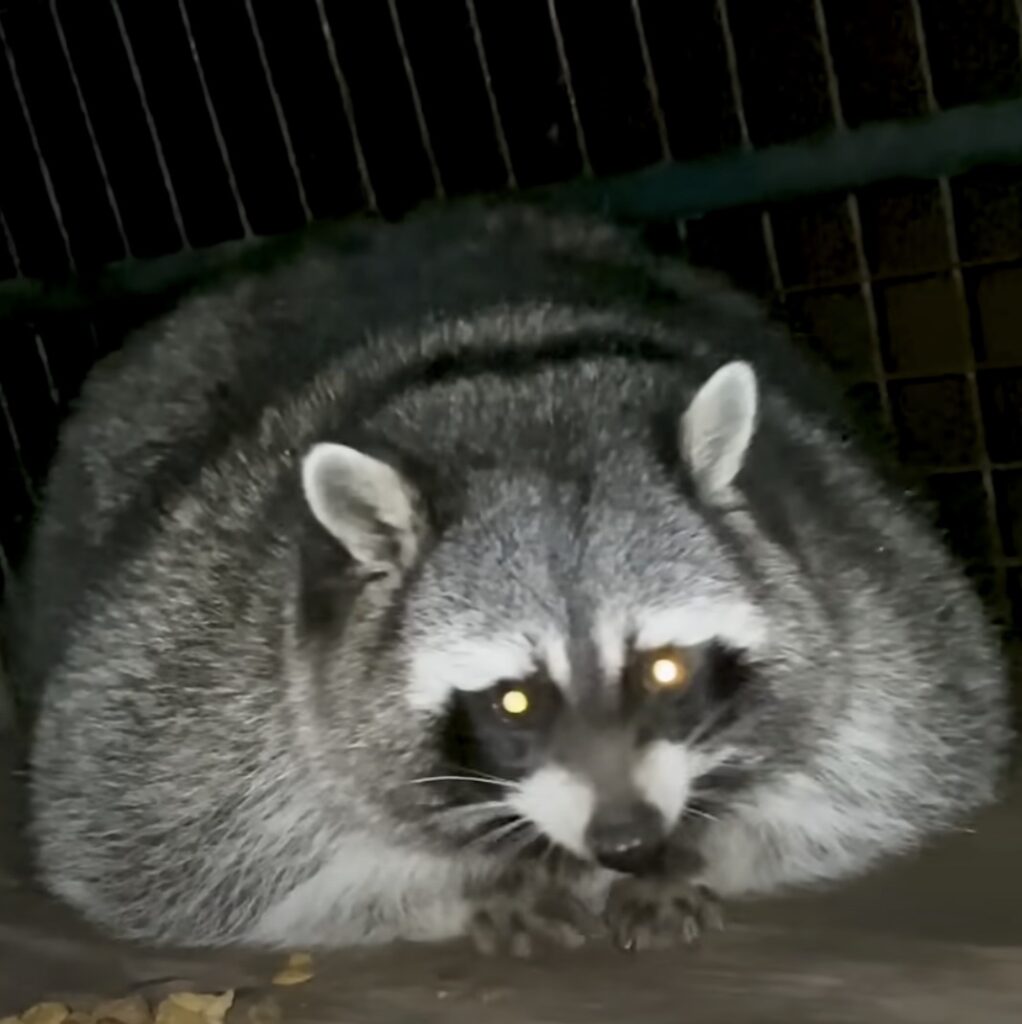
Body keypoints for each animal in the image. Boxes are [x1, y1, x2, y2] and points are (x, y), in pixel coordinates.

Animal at [17, 202, 1011, 953]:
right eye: (516, 700)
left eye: (664, 668)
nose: (628, 839)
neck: (519, 405)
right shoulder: (200, 668)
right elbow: (179, 862)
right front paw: (468, 882)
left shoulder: (871, 583)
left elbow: (886, 773)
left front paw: (695, 845)